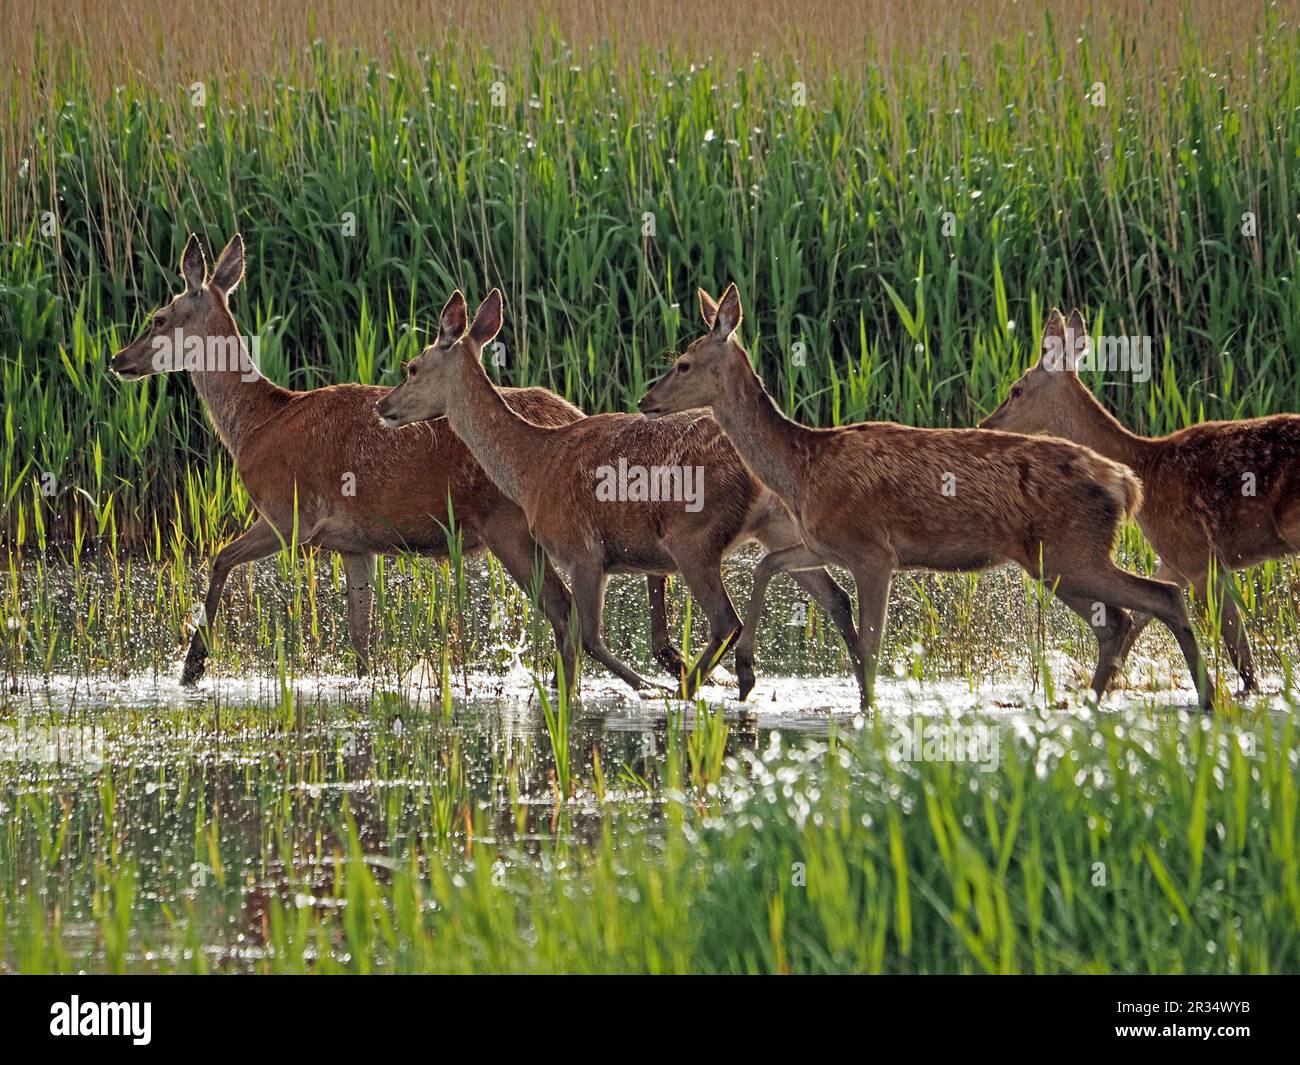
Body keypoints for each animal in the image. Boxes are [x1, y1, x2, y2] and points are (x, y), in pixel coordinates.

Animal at [108, 233, 692, 688]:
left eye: (158, 317)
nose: (117, 359)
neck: (256, 426)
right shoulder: (351, 542)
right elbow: (360, 632)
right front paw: (368, 681)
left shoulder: (289, 513)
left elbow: (219, 558)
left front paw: (192, 666)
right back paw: (671, 661)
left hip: (510, 527)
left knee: (564, 612)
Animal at [374, 289, 862, 698]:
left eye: (412, 367)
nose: (383, 406)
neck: (532, 466)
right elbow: (579, 635)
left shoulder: (582, 551)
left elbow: (584, 636)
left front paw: (640, 689)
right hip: (777, 524)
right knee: (837, 598)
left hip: (693, 535)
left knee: (728, 621)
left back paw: (691, 691)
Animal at [637, 285, 1216, 711]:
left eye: (683, 363)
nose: (645, 399)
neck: (803, 468)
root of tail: (1125, 481)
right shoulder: (827, 542)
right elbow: (766, 565)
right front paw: (745, 670)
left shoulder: (873, 551)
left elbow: (872, 646)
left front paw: (866, 708)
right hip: (1053, 561)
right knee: (1117, 622)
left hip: (1072, 552)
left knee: (1162, 596)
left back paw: (1206, 698)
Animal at [981, 308, 1300, 695]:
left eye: (1016, 389)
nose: (985, 424)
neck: (1144, 464)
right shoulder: (1175, 560)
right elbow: (1140, 619)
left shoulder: (1198, 557)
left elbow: (1240, 653)